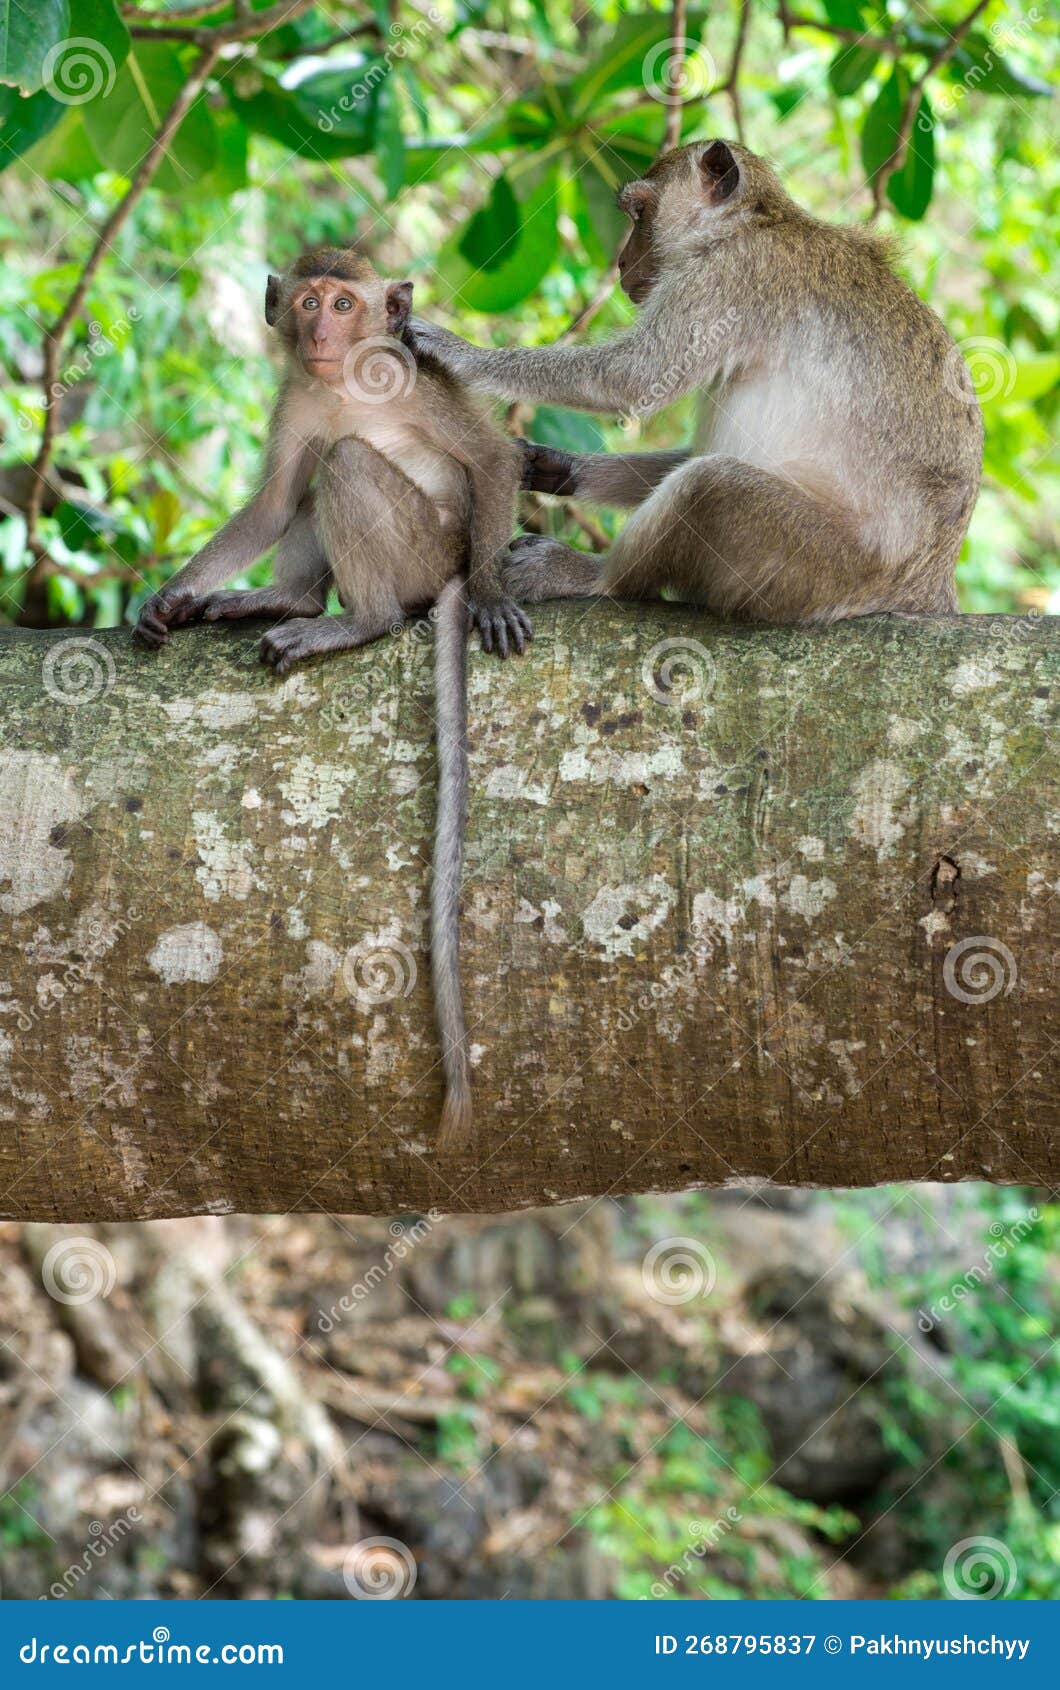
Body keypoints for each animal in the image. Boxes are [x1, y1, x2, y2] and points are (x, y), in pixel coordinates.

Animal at [134, 246, 532, 1150]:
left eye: (346, 305)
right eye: (310, 302)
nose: (319, 333)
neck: (347, 379)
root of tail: (447, 572)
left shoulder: (414, 379)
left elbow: (495, 461)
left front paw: (496, 595)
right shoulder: (298, 394)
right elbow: (279, 499)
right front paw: (170, 597)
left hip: (424, 548)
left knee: (347, 462)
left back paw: (363, 621)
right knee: (321, 464)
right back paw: (289, 601)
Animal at [408, 140, 983, 625]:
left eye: (641, 214)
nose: (622, 262)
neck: (749, 223)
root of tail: (927, 587)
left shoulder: (728, 277)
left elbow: (634, 378)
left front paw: (458, 352)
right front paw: (558, 467)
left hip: (826, 569)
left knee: (711, 485)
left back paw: (596, 577)